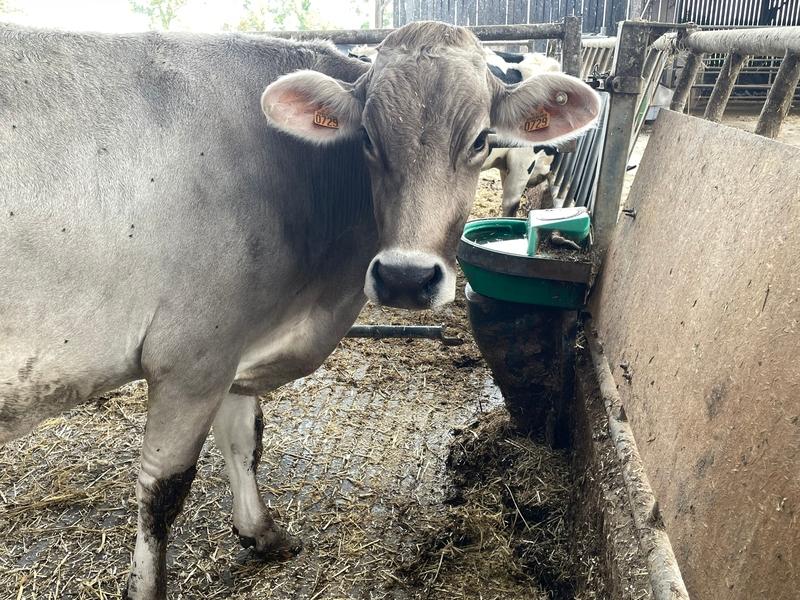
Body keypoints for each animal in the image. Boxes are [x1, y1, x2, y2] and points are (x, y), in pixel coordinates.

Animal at [0, 21, 600, 599]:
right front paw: (148, 587)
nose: (405, 277)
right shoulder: (192, 356)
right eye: (368, 139)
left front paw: (261, 532)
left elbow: (245, 440)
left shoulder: (235, 344)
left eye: (480, 139)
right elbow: (164, 489)